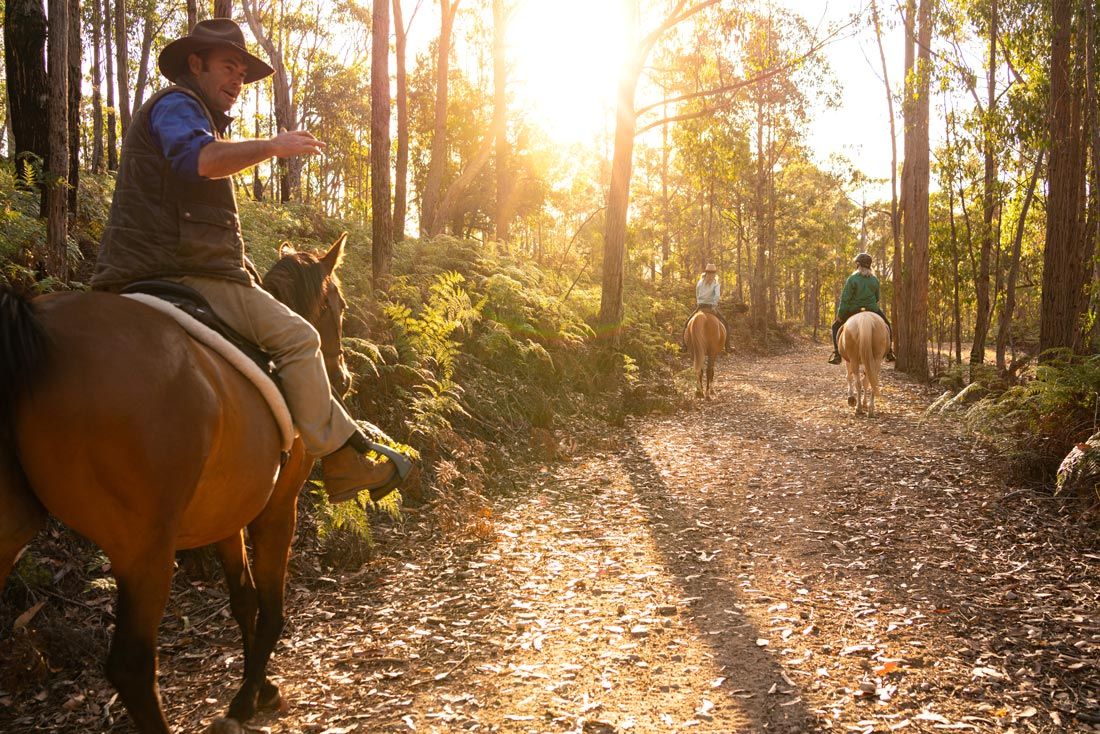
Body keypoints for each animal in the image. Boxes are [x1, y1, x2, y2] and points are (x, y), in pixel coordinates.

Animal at [0, 233, 358, 734]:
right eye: (338, 306)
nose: (341, 378)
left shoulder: (229, 514)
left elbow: (243, 600)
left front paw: (259, 688)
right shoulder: (277, 507)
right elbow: (270, 607)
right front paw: (247, 698)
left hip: (11, 534)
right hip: (145, 548)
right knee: (131, 667)